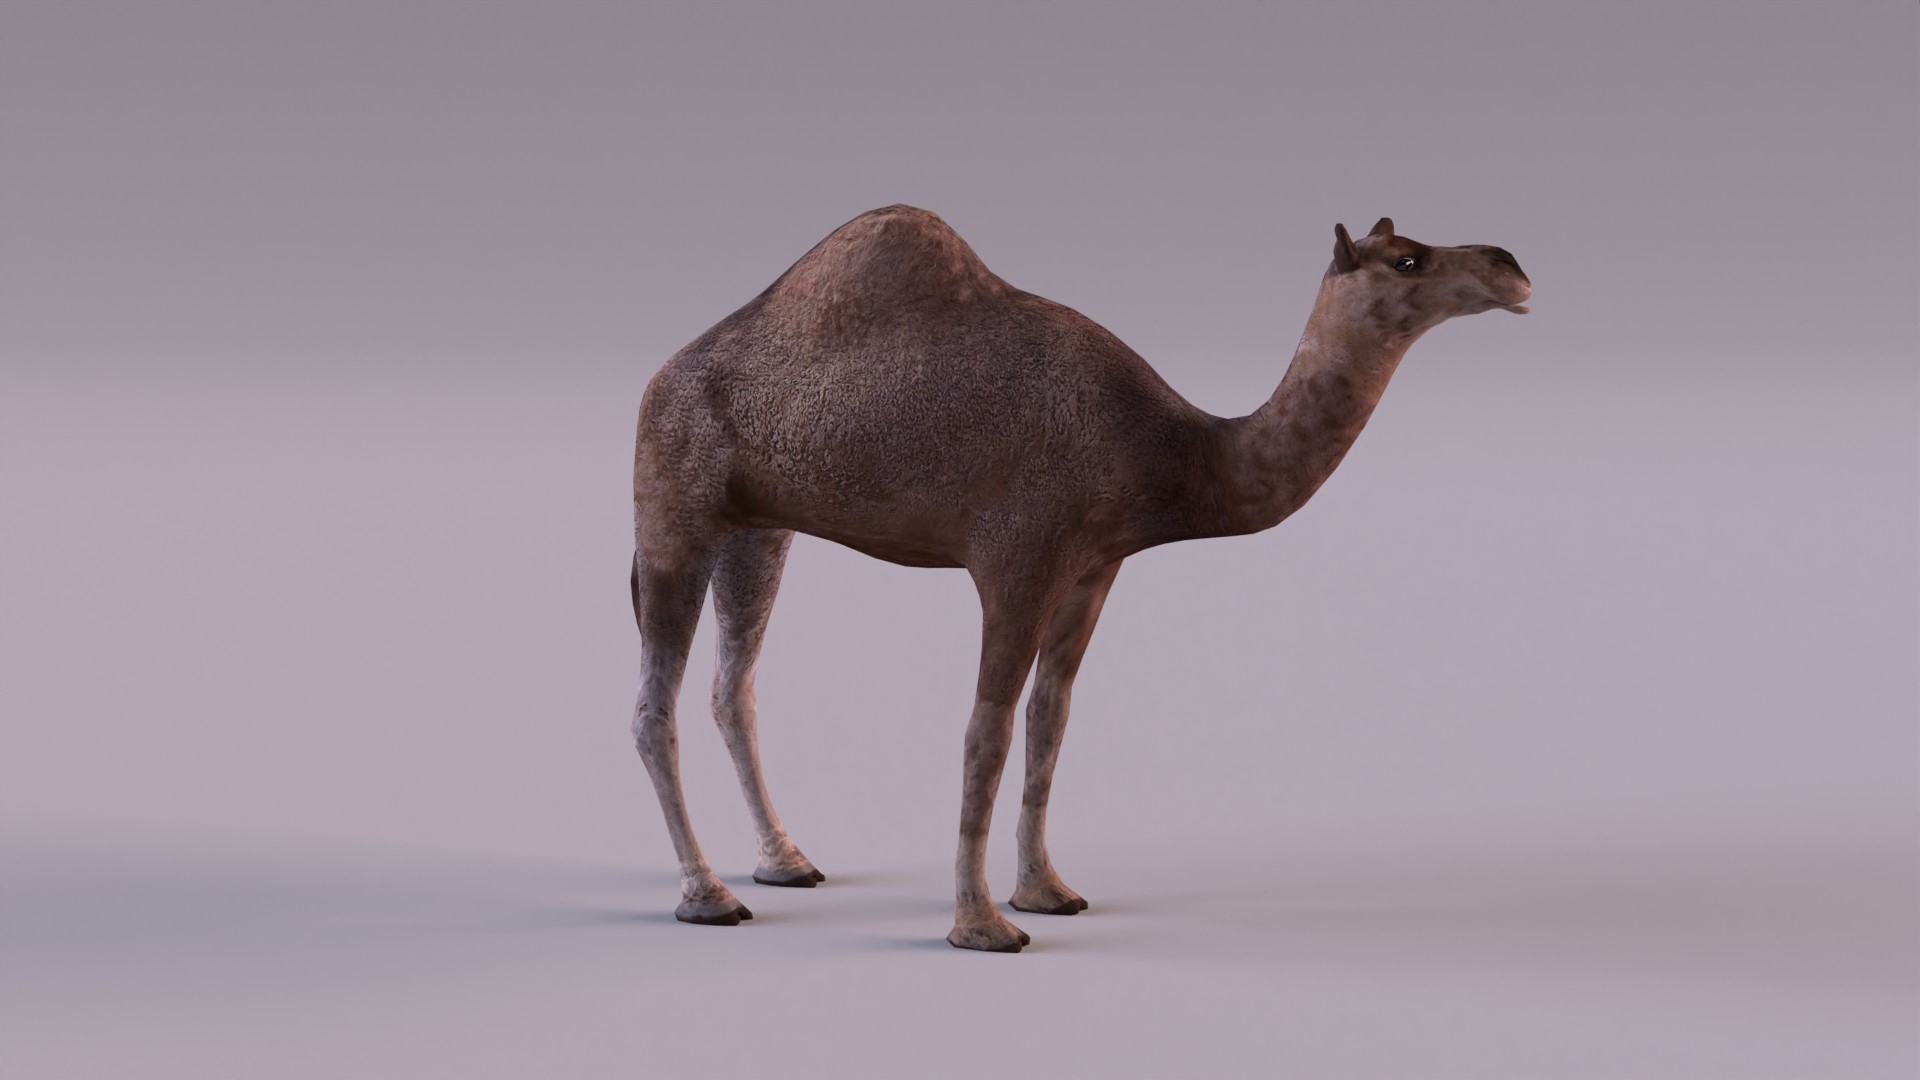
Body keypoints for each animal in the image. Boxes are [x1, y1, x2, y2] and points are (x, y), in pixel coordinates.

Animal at [629, 205, 1530, 952]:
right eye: (1407, 260)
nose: (1511, 266)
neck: (1170, 452)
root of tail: (660, 375)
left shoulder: (1095, 566)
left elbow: (1050, 719)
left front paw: (1046, 891)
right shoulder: (1017, 557)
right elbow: (986, 732)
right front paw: (982, 925)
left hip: (761, 526)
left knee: (733, 688)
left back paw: (785, 861)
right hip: (675, 508)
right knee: (652, 706)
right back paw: (708, 897)